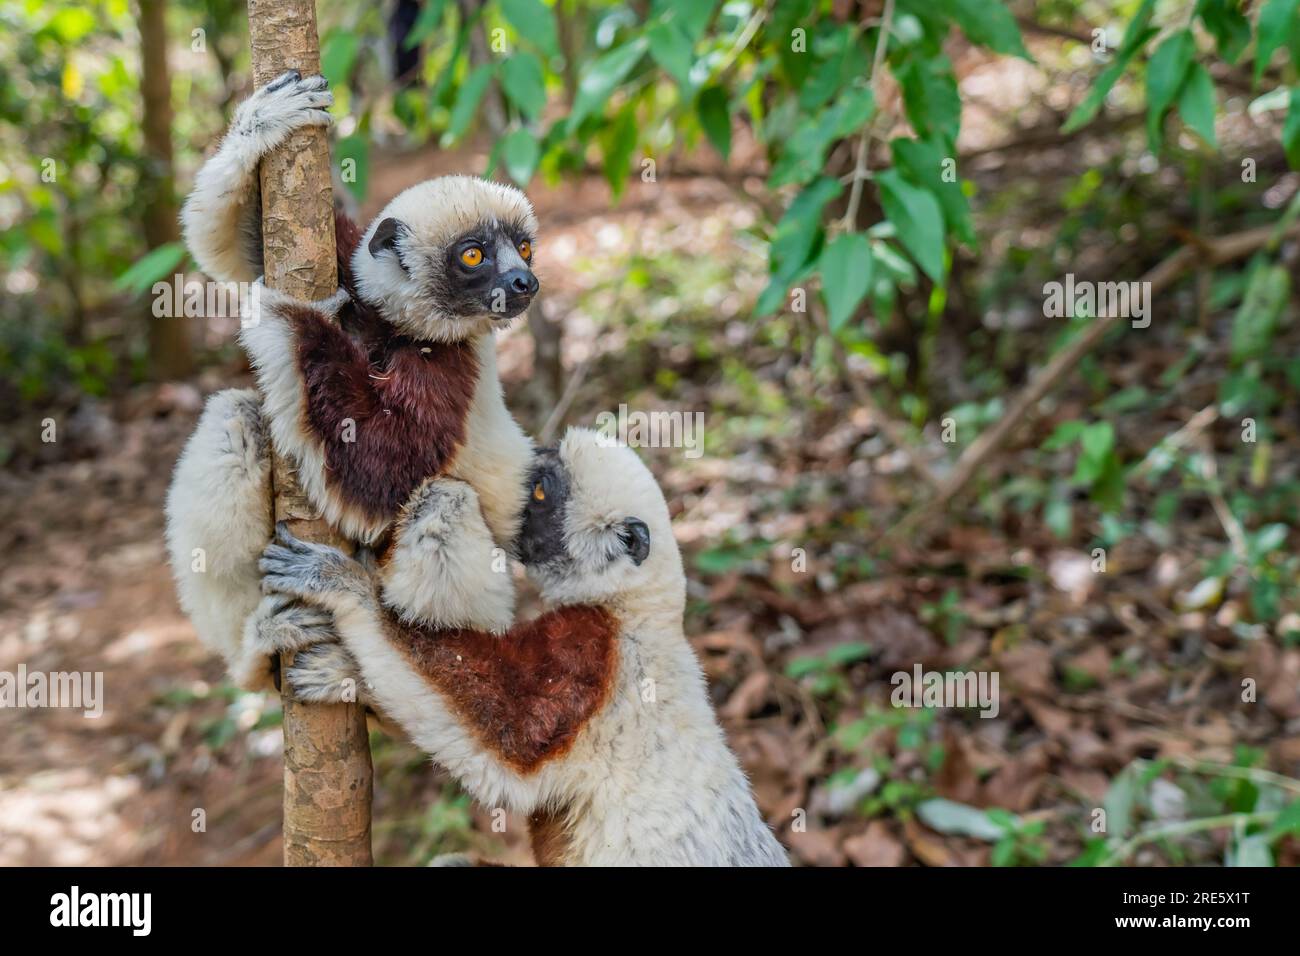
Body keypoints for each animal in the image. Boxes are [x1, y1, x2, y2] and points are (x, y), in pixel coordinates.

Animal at [165, 70, 536, 690]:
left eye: (524, 248)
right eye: (474, 255)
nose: (526, 281)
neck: (393, 328)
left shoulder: (450, 367)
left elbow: (379, 475)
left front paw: (285, 314)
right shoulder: (354, 270)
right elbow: (235, 244)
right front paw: (266, 120)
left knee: (444, 502)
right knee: (236, 418)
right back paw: (256, 652)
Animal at [256, 427, 791, 867]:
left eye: (539, 491)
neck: (637, 607)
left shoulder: (591, 651)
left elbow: (511, 747)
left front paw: (344, 584)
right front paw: (341, 672)